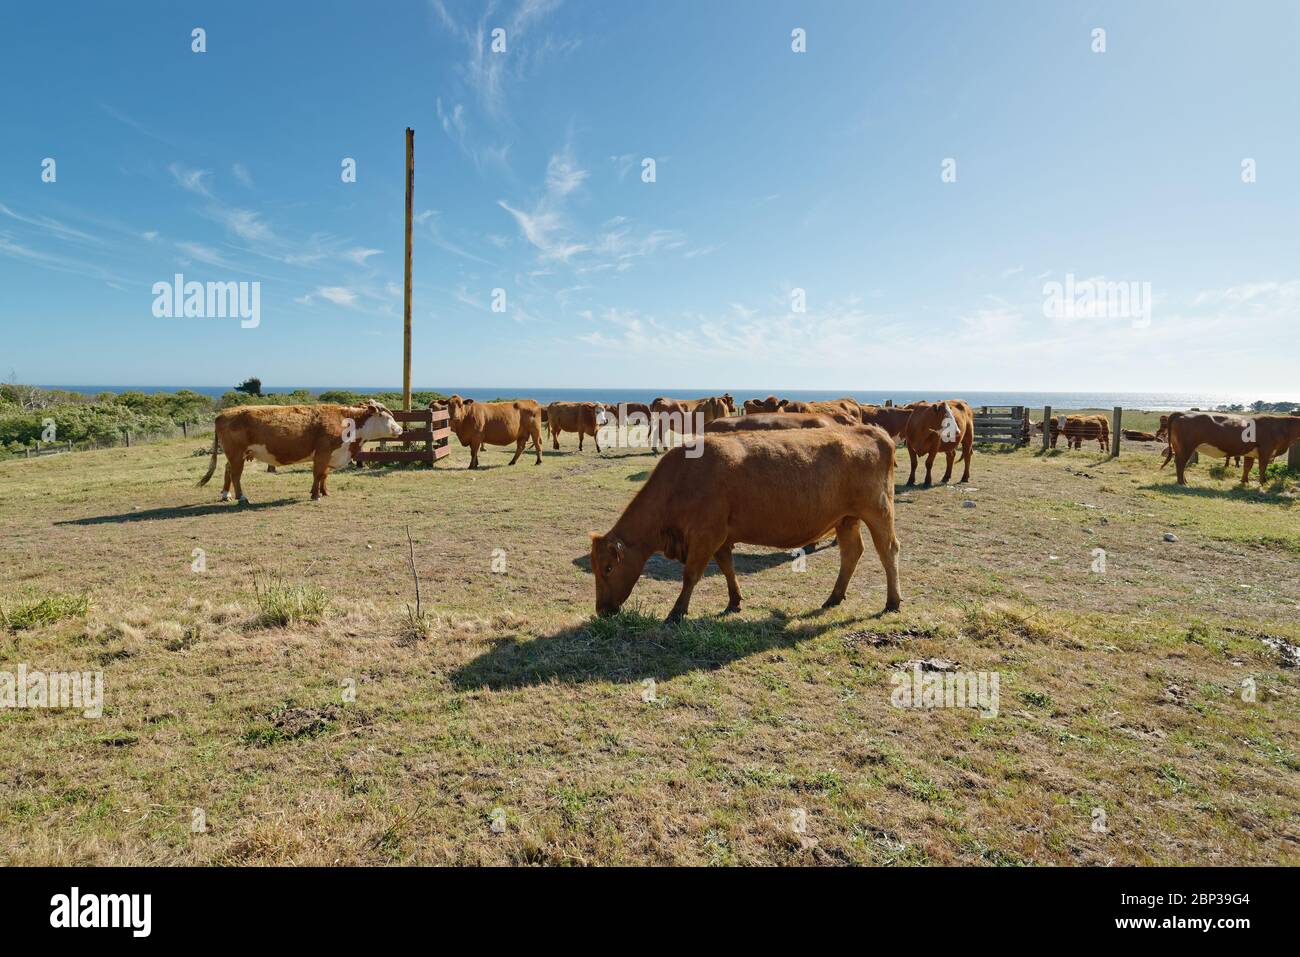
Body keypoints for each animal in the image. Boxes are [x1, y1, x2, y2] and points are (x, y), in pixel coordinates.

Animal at [198, 400, 403, 503]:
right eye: (386, 417)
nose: (400, 429)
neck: (346, 421)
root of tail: (223, 413)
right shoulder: (323, 452)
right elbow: (318, 473)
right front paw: (316, 495)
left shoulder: (328, 455)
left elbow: (324, 475)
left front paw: (324, 492)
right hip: (236, 453)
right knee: (235, 474)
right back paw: (242, 497)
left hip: (236, 454)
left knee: (227, 470)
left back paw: (226, 495)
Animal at [589, 426, 901, 621]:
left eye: (608, 567)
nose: (601, 610)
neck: (681, 479)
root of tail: (873, 431)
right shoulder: (721, 538)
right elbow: (728, 568)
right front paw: (734, 601)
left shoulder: (705, 535)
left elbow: (691, 575)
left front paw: (677, 612)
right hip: (846, 519)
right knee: (851, 552)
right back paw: (834, 597)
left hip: (878, 512)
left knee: (888, 551)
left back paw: (892, 602)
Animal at [1161, 412, 1300, 486]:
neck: (1281, 427)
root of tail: (1183, 413)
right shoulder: (1266, 451)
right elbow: (1262, 468)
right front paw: (1263, 483)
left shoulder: (1250, 452)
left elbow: (1247, 467)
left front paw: (1244, 481)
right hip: (1186, 447)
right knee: (1180, 463)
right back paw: (1182, 483)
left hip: (1181, 448)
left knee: (1180, 463)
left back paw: (1184, 480)